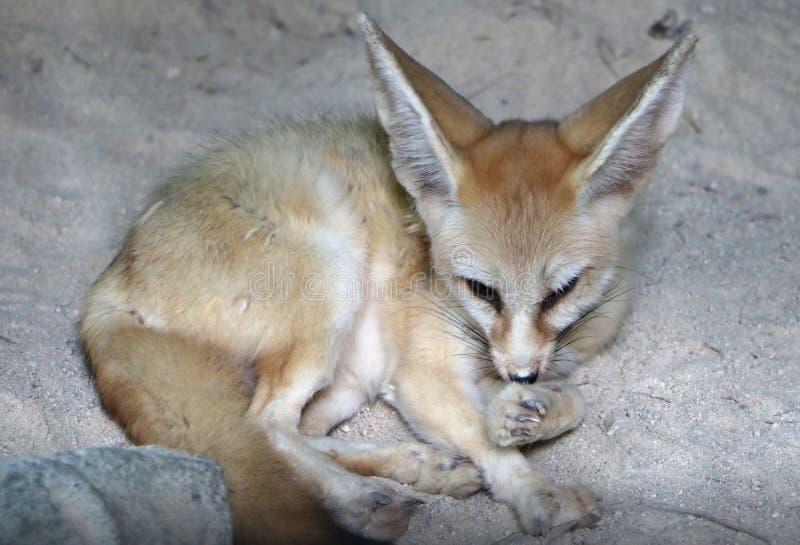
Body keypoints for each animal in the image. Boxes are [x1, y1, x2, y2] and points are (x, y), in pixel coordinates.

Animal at [80, 13, 696, 545]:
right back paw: (360, 500)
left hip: (350, 374)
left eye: (561, 292)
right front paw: (538, 492)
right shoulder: (421, 374)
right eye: (481, 290)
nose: (522, 375)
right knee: (264, 423)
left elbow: (572, 400)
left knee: (299, 431)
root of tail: (110, 281)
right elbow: (488, 439)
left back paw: (421, 468)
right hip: (332, 284)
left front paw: (532, 412)